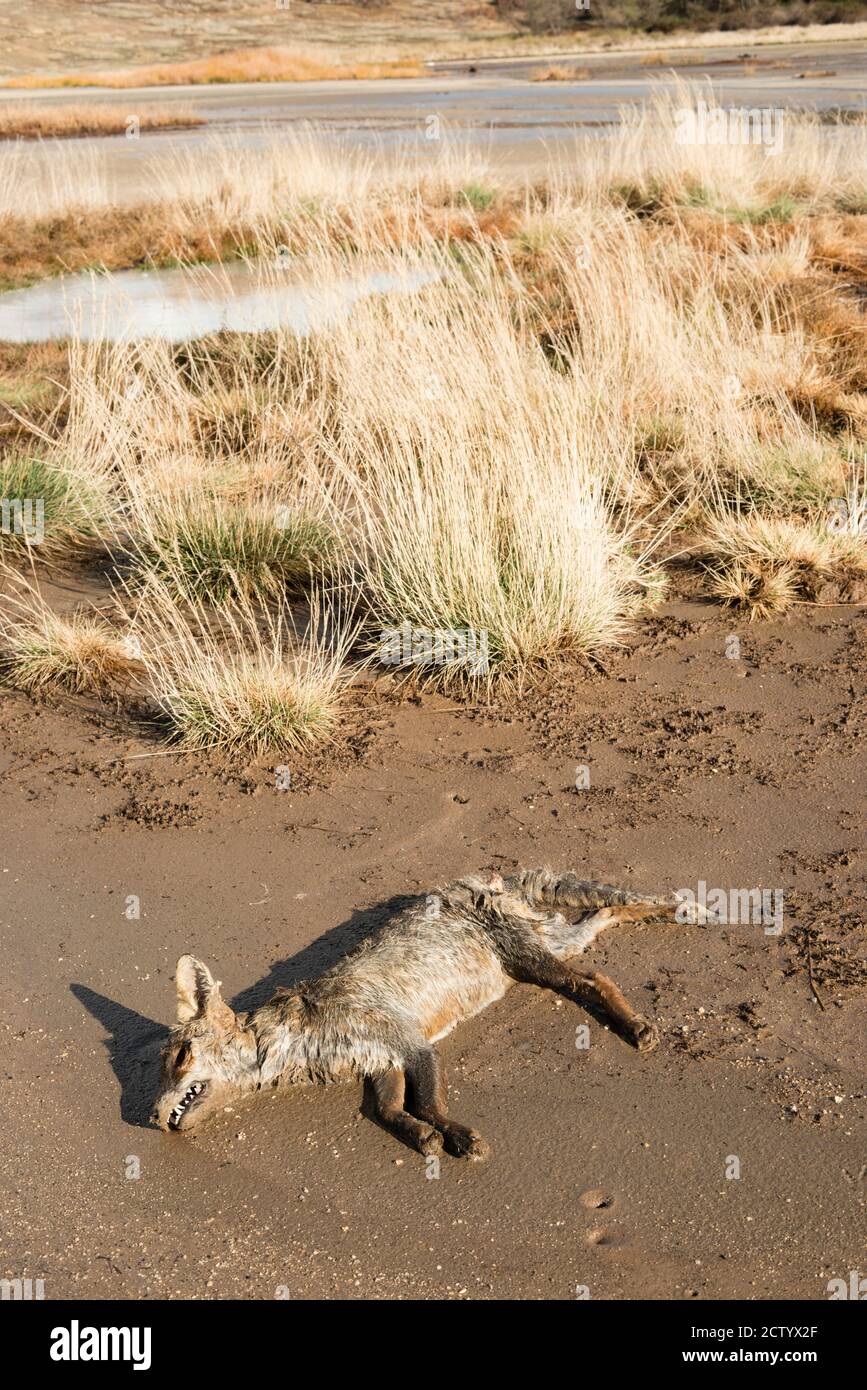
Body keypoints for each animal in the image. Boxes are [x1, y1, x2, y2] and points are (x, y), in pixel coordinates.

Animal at [150, 867, 701, 1160]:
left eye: (179, 1059)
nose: (154, 1116)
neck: (302, 1043)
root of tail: (485, 878)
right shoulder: (381, 1063)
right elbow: (390, 1110)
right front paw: (423, 1137)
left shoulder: (411, 1044)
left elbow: (430, 1104)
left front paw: (456, 1134)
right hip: (551, 947)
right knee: (604, 918)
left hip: (536, 962)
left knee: (593, 977)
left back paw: (638, 1024)